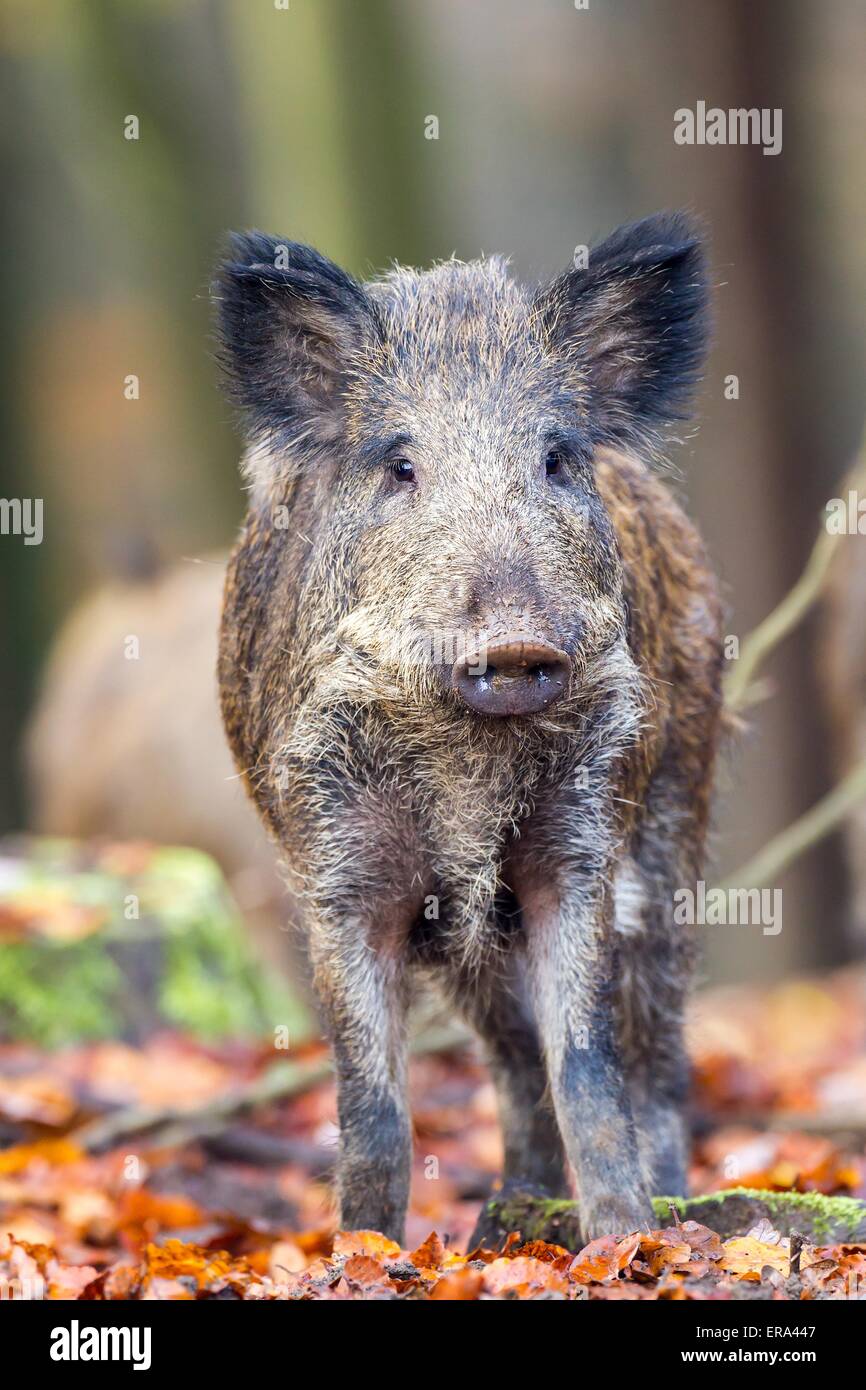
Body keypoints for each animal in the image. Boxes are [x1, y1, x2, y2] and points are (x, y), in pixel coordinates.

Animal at [215, 213, 724, 1244]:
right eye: (402, 465)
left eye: (557, 458)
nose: (518, 639)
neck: (465, 773)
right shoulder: (340, 872)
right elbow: (372, 1105)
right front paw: (364, 1254)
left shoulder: (580, 847)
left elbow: (589, 1067)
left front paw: (629, 1243)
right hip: (461, 938)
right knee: (512, 1057)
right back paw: (504, 1220)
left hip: (675, 817)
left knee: (653, 1047)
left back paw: (663, 1206)